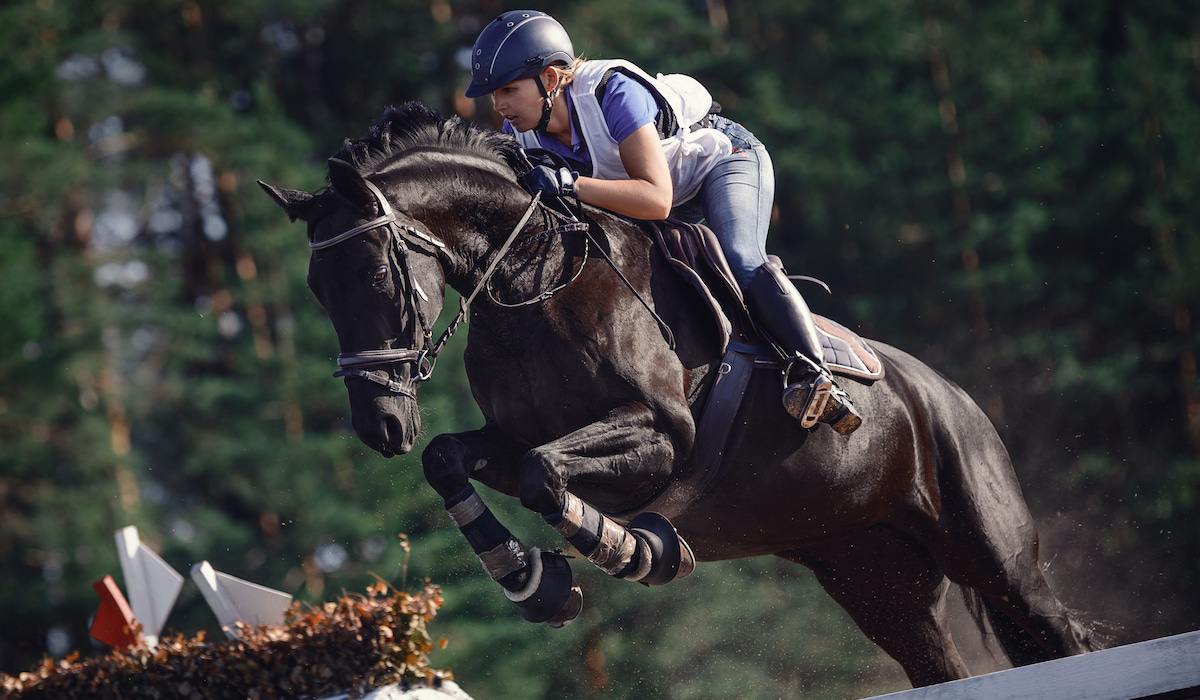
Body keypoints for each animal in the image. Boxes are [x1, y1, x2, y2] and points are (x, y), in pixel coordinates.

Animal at [259, 102, 1100, 687]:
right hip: (873, 573)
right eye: (316, 289)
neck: (534, 279)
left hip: (992, 556)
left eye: (374, 274)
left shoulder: (663, 435)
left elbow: (545, 472)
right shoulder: (506, 438)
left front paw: (628, 547)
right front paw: (532, 584)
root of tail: (954, 397)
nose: (378, 424)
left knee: (1047, 626)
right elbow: (452, 460)